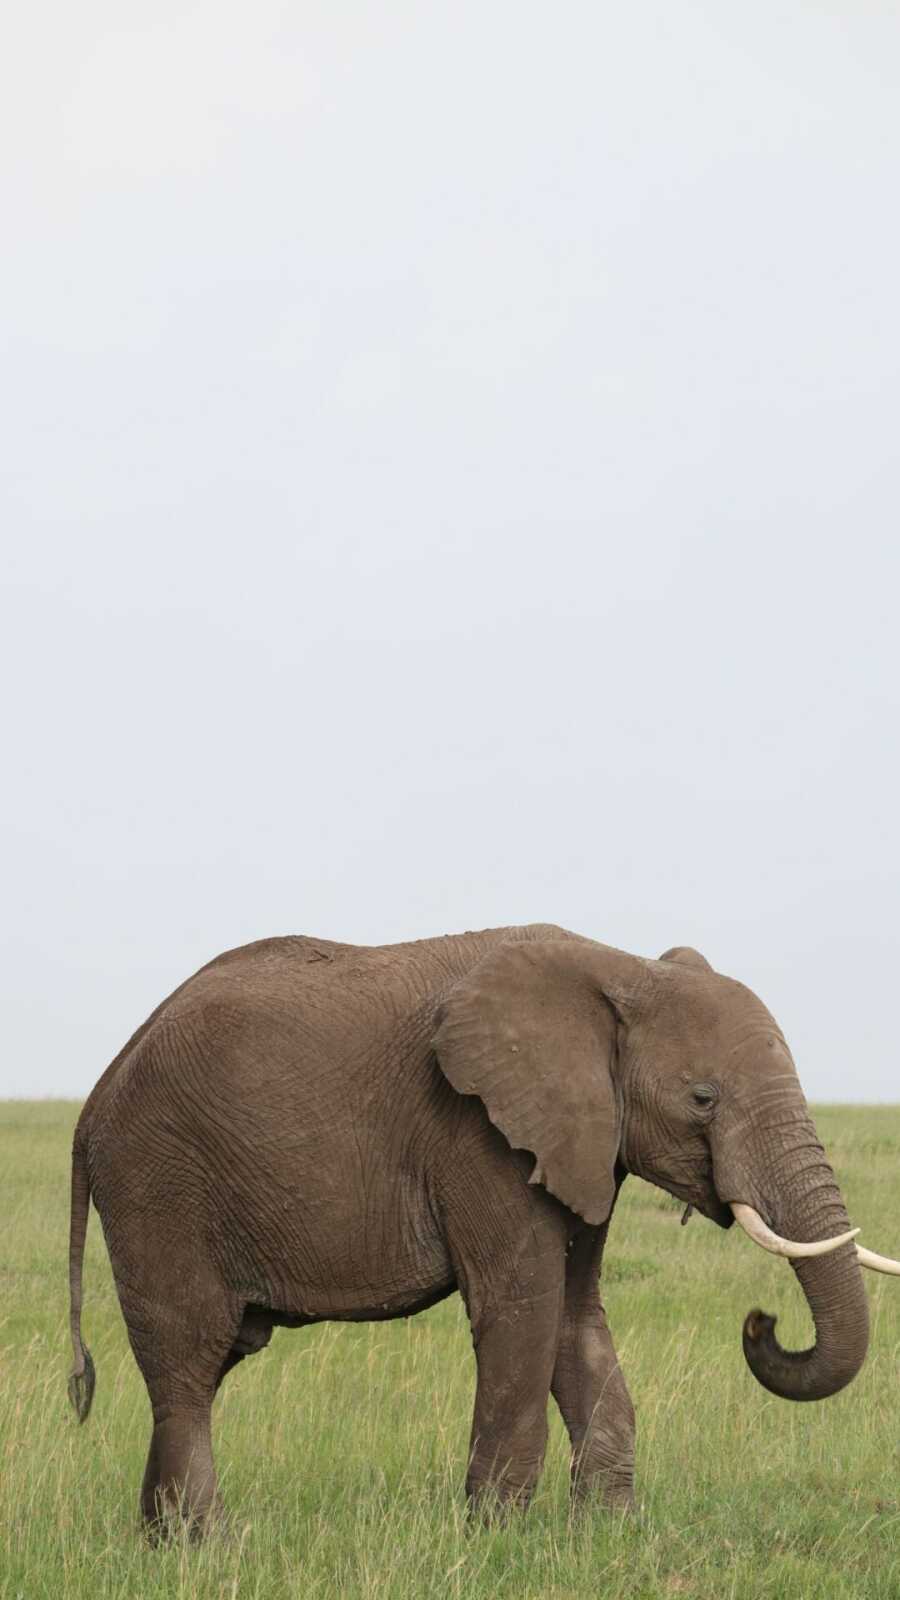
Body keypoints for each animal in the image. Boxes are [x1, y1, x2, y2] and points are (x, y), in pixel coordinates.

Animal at [67, 923, 899, 1535]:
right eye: (703, 1098)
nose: (762, 1322)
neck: (619, 968)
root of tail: (96, 1093)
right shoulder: (477, 1136)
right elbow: (522, 1308)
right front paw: (498, 1538)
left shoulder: (582, 1145)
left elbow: (575, 1317)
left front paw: (608, 1534)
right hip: (156, 1184)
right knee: (189, 1359)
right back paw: (204, 1546)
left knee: (205, 1366)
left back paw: (158, 1539)